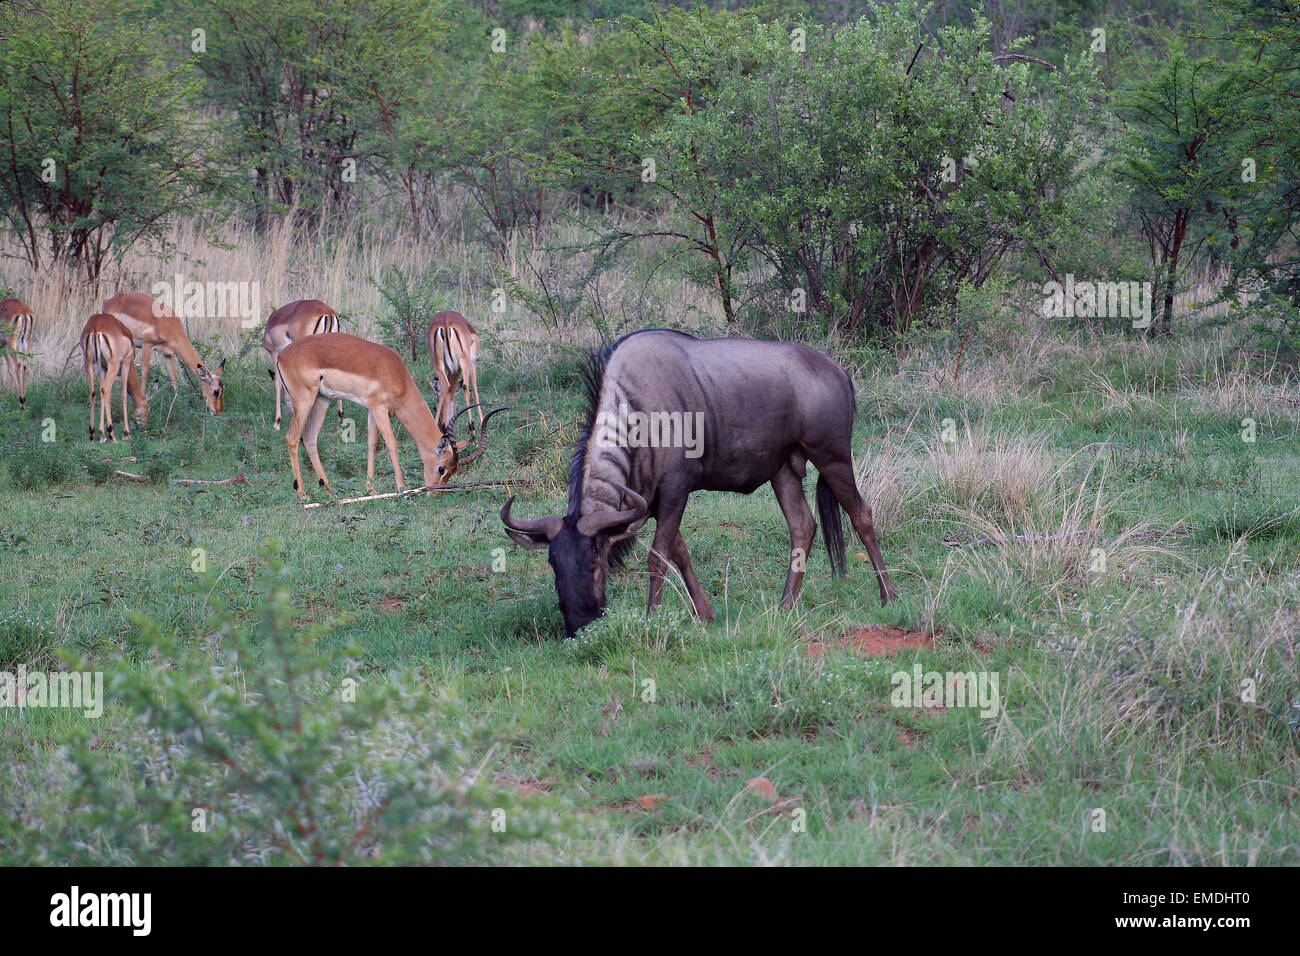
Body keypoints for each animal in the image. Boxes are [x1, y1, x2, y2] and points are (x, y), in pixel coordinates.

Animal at [80, 313, 149, 442]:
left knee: (94, 393)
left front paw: (102, 435)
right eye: (147, 406)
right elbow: (124, 395)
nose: (144, 428)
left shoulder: (103, 368)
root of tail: (96, 326)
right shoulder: (126, 364)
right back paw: (112, 434)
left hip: (89, 363)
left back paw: (92, 433)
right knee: (106, 391)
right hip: (114, 365)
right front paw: (126, 433)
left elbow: (102, 394)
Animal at [274, 332, 504, 499]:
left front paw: (371, 490)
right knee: (292, 438)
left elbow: (372, 444)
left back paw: (329, 490)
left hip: (322, 400)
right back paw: (302, 494)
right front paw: (401, 488)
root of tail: (281, 356)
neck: (398, 376)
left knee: (309, 439)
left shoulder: (372, 410)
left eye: (453, 472)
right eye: (441, 468)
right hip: (305, 400)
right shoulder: (379, 408)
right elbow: (391, 442)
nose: (433, 492)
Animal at [501, 329, 897, 637]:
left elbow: (658, 556)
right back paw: (785, 606)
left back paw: (888, 596)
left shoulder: (676, 490)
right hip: (783, 469)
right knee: (802, 526)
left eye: (595, 562)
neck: (638, 412)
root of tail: (839, 371)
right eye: (553, 564)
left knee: (861, 514)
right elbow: (680, 551)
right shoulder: (652, 501)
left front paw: (651, 618)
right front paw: (705, 613)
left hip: (832, 457)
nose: (579, 625)